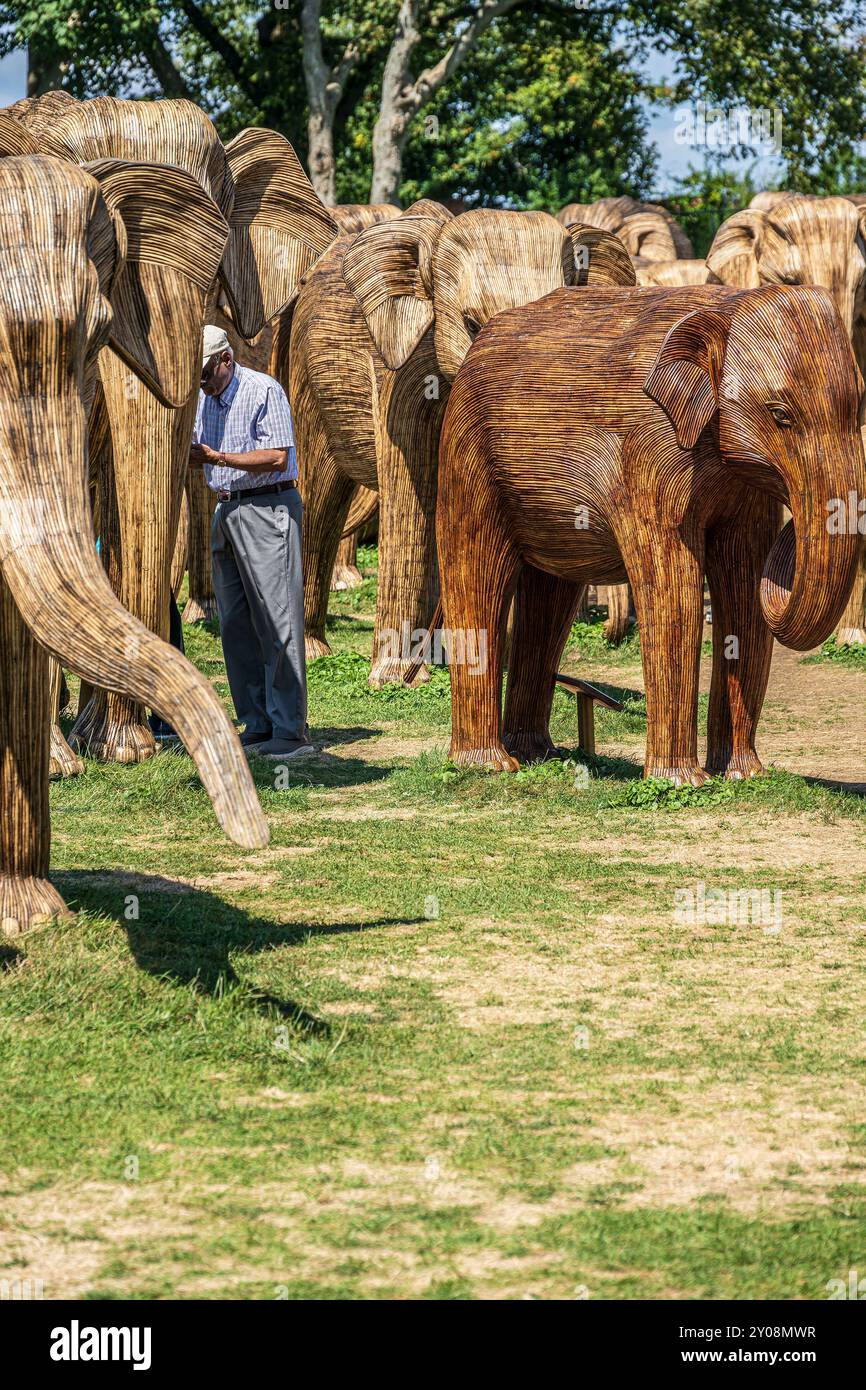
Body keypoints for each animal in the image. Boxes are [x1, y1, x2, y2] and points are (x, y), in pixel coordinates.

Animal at [288, 206, 635, 685]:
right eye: (472, 325)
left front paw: (490, 667)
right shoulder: (404, 367)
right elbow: (410, 499)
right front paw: (393, 679)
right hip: (308, 382)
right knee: (319, 499)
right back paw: (319, 653)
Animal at [436, 282, 865, 784]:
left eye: (859, 406)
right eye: (781, 415)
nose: (795, 525)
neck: (725, 306)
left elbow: (743, 584)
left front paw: (745, 776)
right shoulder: (650, 453)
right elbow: (674, 586)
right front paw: (684, 783)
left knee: (551, 597)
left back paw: (538, 753)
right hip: (467, 454)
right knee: (477, 573)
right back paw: (492, 765)